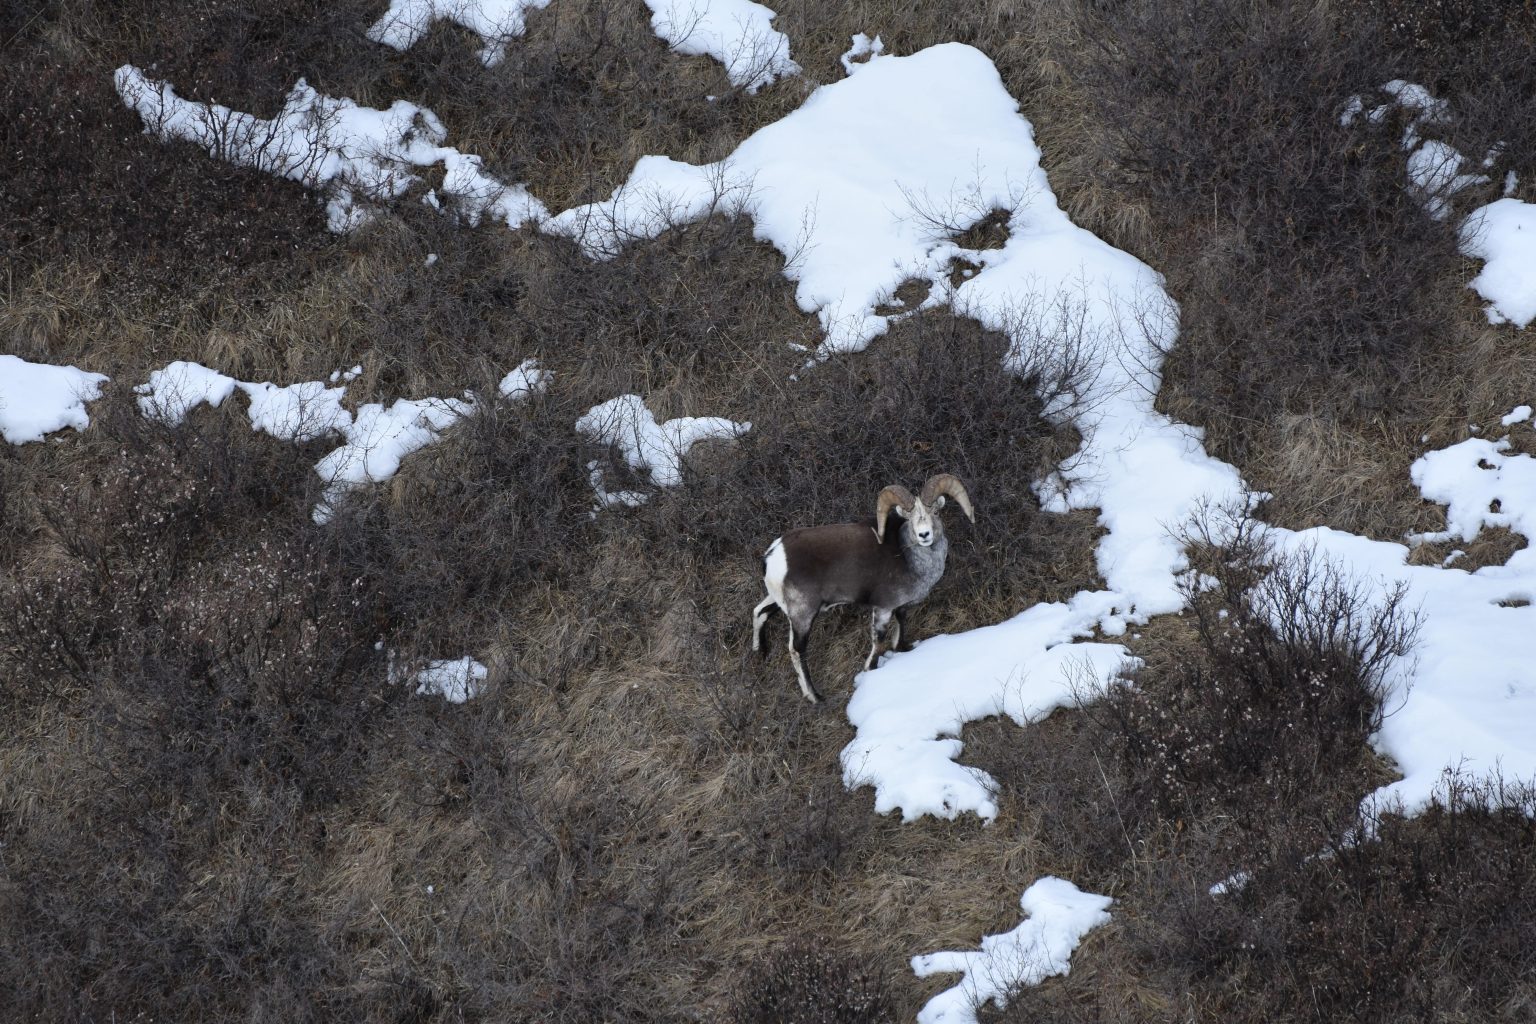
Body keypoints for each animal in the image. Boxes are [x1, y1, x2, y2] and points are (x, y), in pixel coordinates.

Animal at [751, 473, 975, 703]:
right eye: (910, 518)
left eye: (935, 512)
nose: (924, 535)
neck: (910, 559)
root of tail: (773, 555)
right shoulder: (883, 609)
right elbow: (879, 639)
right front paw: (871, 668)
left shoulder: (900, 607)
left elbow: (901, 626)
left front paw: (904, 649)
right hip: (802, 614)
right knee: (796, 650)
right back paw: (815, 696)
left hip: (778, 601)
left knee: (759, 612)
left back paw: (760, 652)